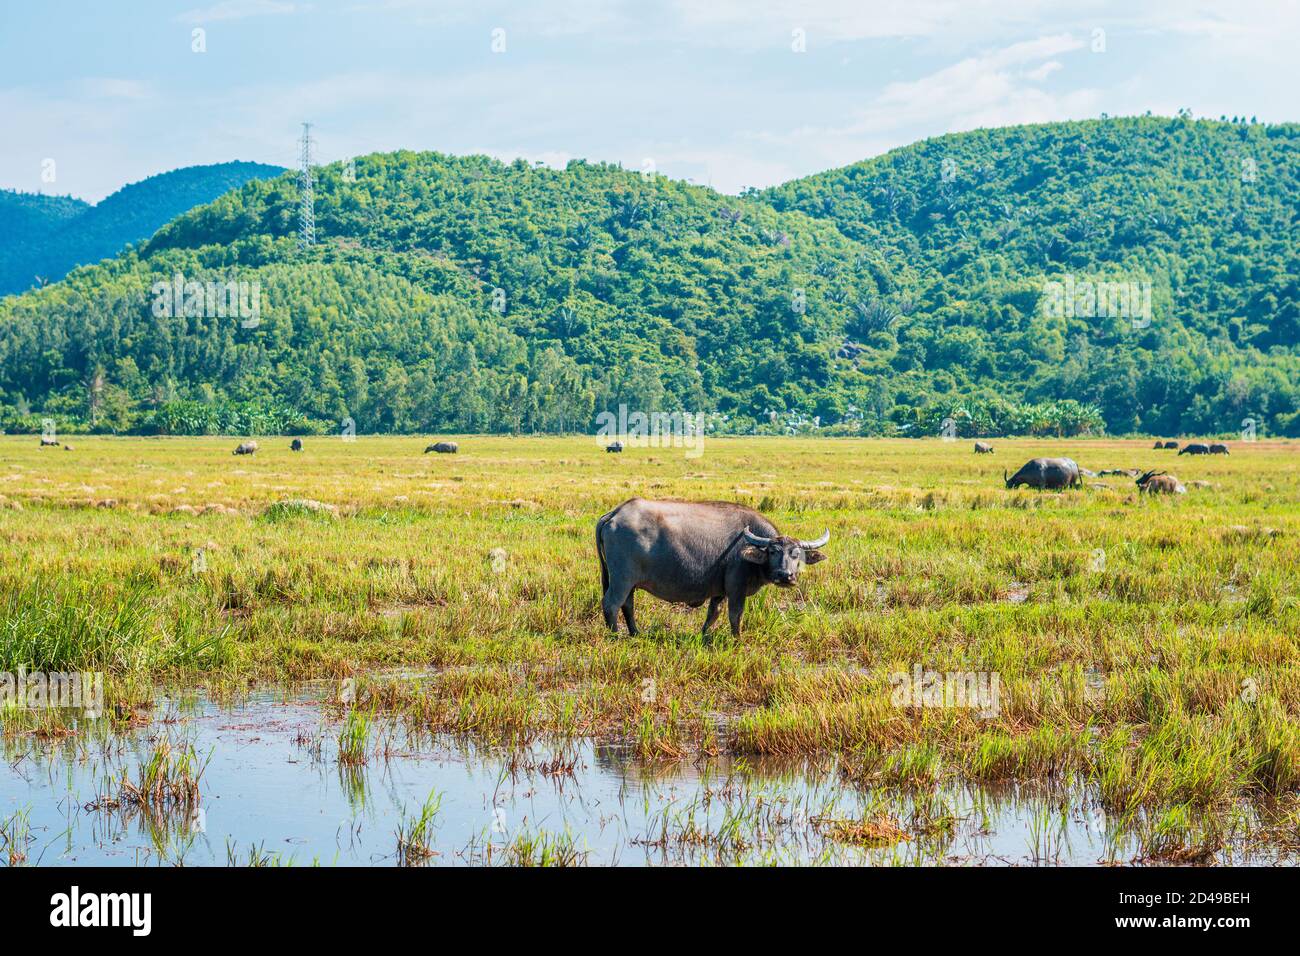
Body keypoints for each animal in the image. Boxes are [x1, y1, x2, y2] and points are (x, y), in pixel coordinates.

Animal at [596, 498, 829, 637]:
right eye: (773, 552)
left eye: (796, 555)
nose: (785, 575)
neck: (747, 549)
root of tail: (615, 513)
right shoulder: (736, 589)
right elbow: (735, 615)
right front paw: (737, 639)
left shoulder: (719, 591)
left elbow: (713, 614)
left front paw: (703, 635)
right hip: (621, 580)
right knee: (611, 604)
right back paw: (615, 637)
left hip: (629, 583)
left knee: (628, 605)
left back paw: (635, 633)